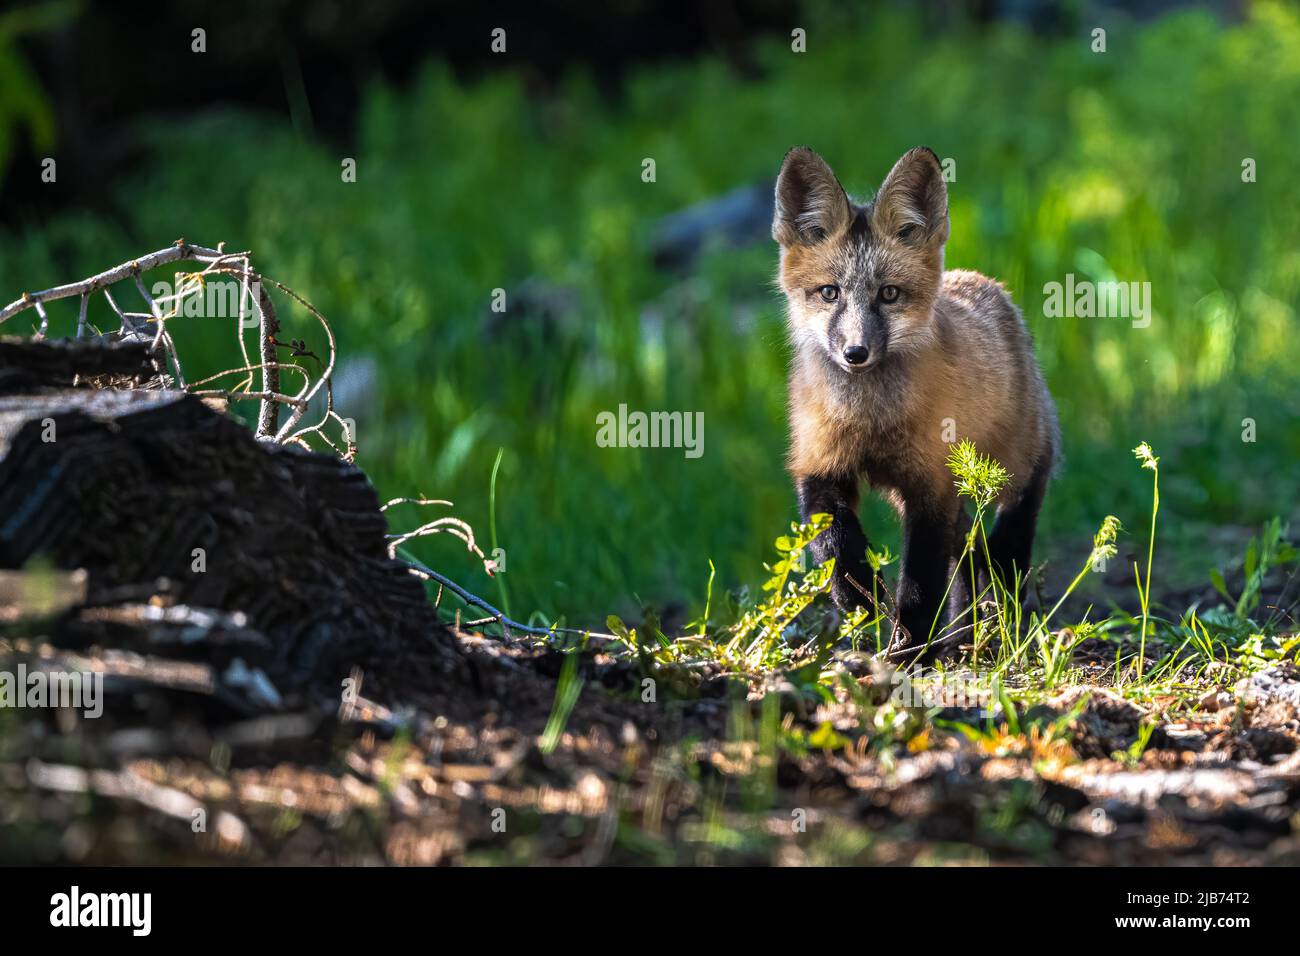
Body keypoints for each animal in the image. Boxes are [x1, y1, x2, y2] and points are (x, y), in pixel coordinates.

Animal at [773, 146, 1059, 658]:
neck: (869, 421)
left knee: (1001, 550)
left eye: (889, 294)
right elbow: (834, 543)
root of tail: (985, 283)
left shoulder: (932, 487)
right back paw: (966, 633)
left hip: (1012, 471)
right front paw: (859, 596)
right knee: (967, 556)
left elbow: (921, 584)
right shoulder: (819, 464)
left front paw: (911, 652)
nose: (856, 353)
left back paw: (998, 627)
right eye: (829, 293)